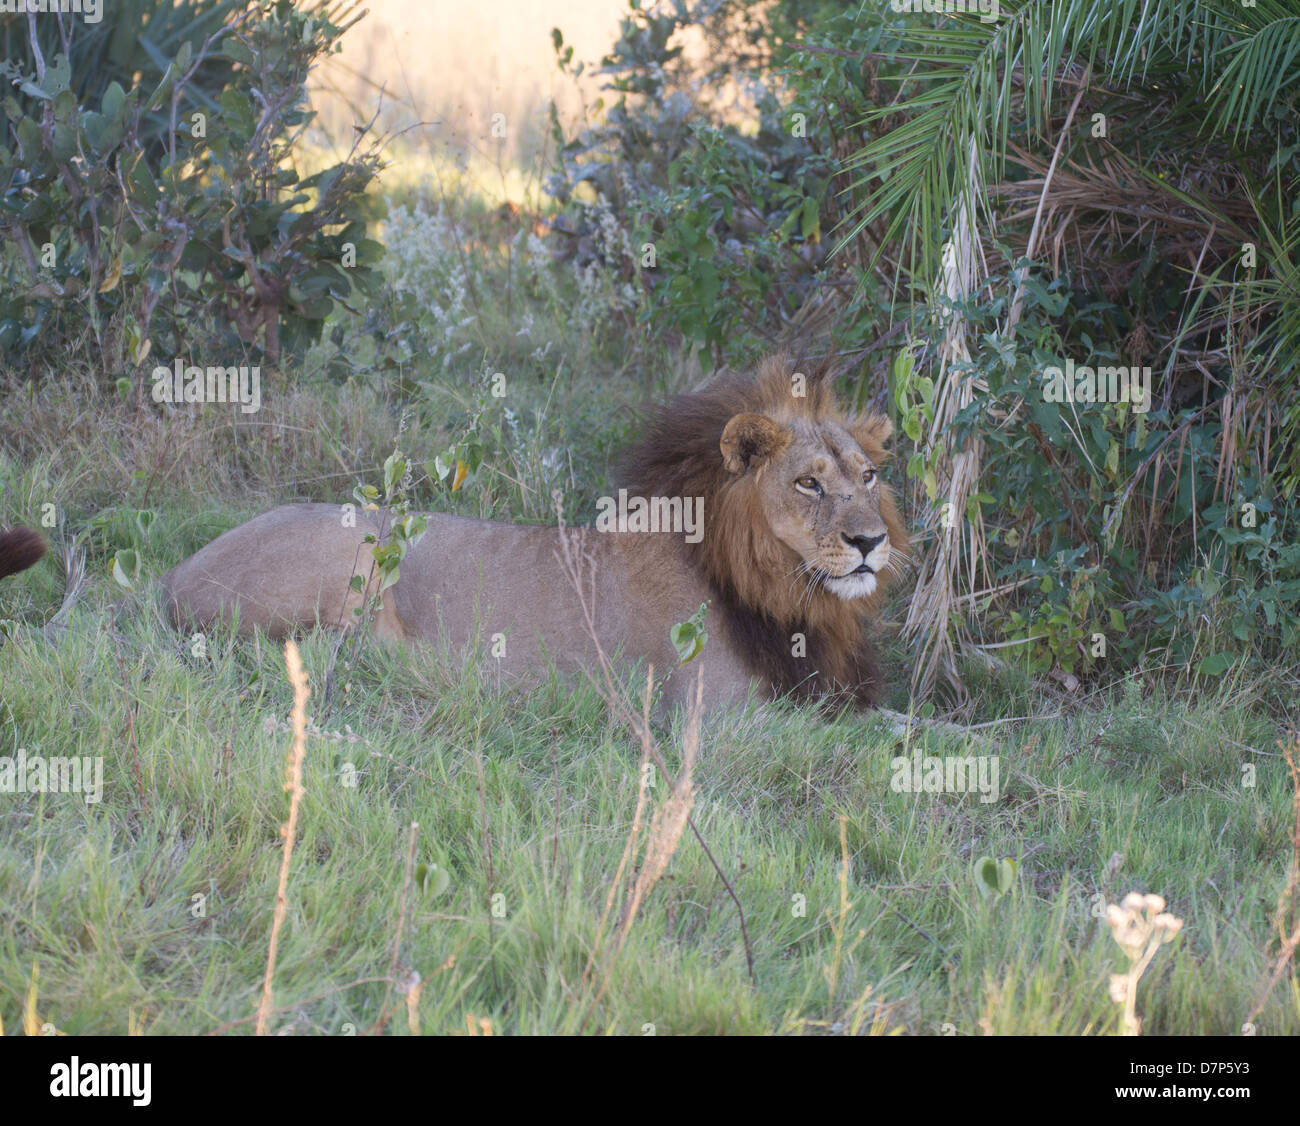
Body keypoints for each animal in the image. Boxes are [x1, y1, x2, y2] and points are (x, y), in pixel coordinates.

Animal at [161, 356, 908, 713]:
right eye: (808, 483)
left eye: (869, 475)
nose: (871, 543)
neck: (787, 593)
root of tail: (170, 576)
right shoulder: (725, 713)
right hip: (356, 553)